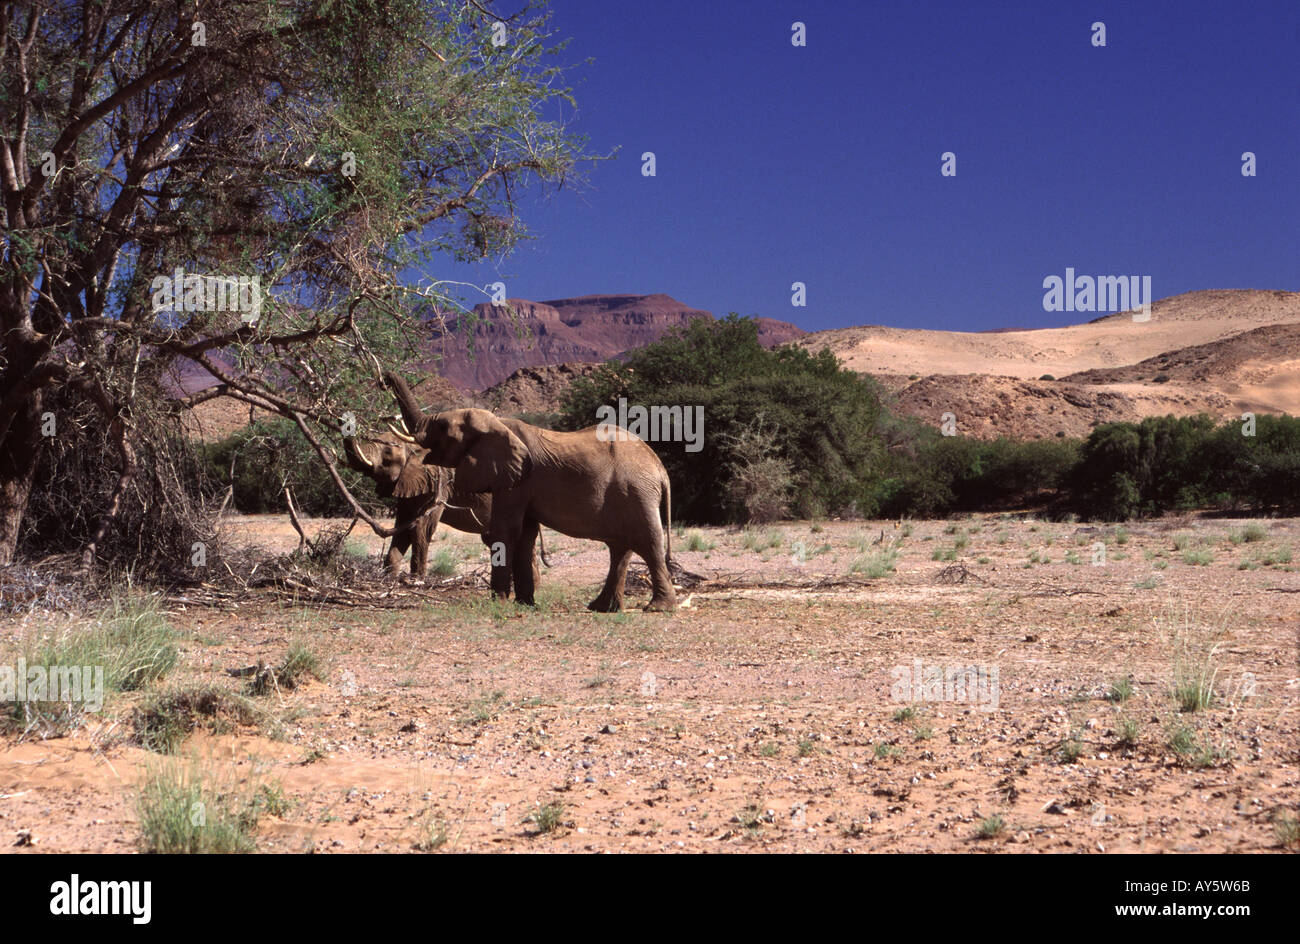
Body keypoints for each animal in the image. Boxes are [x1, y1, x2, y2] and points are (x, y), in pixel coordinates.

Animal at [342, 435, 543, 583]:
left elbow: (421, 529)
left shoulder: (437, 485)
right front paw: (389, 578)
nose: (348, 434)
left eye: (387, 452)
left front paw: (416, 582)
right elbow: (403, 528)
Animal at [383, 371, 677, 612]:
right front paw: (525, 603)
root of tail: (659, 468)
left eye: (443, 428)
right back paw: (602, 608)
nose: (384, 379)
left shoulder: (517, 480)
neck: (498, 423)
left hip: (636, 492)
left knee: (647, 542)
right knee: (620, 548)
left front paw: (499, 603)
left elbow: (506, 530)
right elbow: (525, 533)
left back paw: (658, 608)